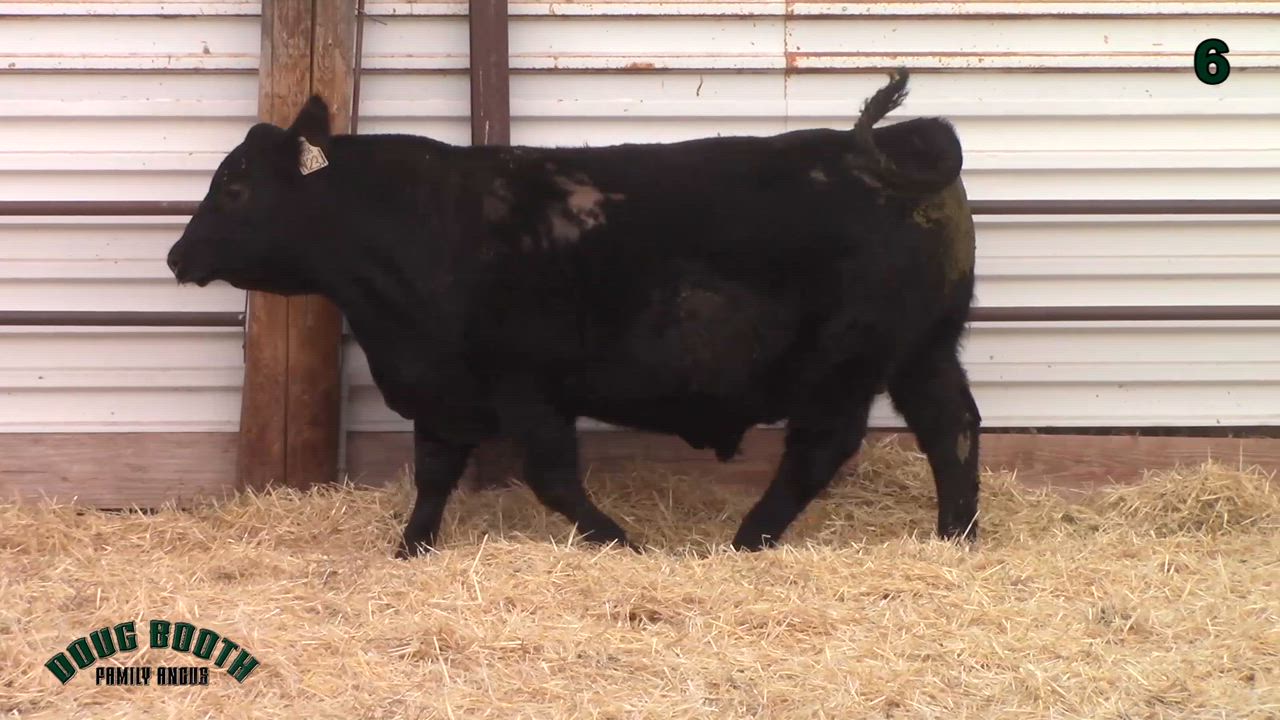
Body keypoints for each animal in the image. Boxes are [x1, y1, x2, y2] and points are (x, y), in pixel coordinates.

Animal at [167, 69, 981, 558]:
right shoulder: (442, 389)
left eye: (234, 186)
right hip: (925, 350)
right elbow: (433, 475)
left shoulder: (527, 387)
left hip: (846, 361)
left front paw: (625, 545)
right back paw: (957, 538)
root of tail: (902, 141)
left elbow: (553, 478)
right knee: (953, 430)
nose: (178, 256)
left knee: (822, 448)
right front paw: (409, 550)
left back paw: (749, 539)